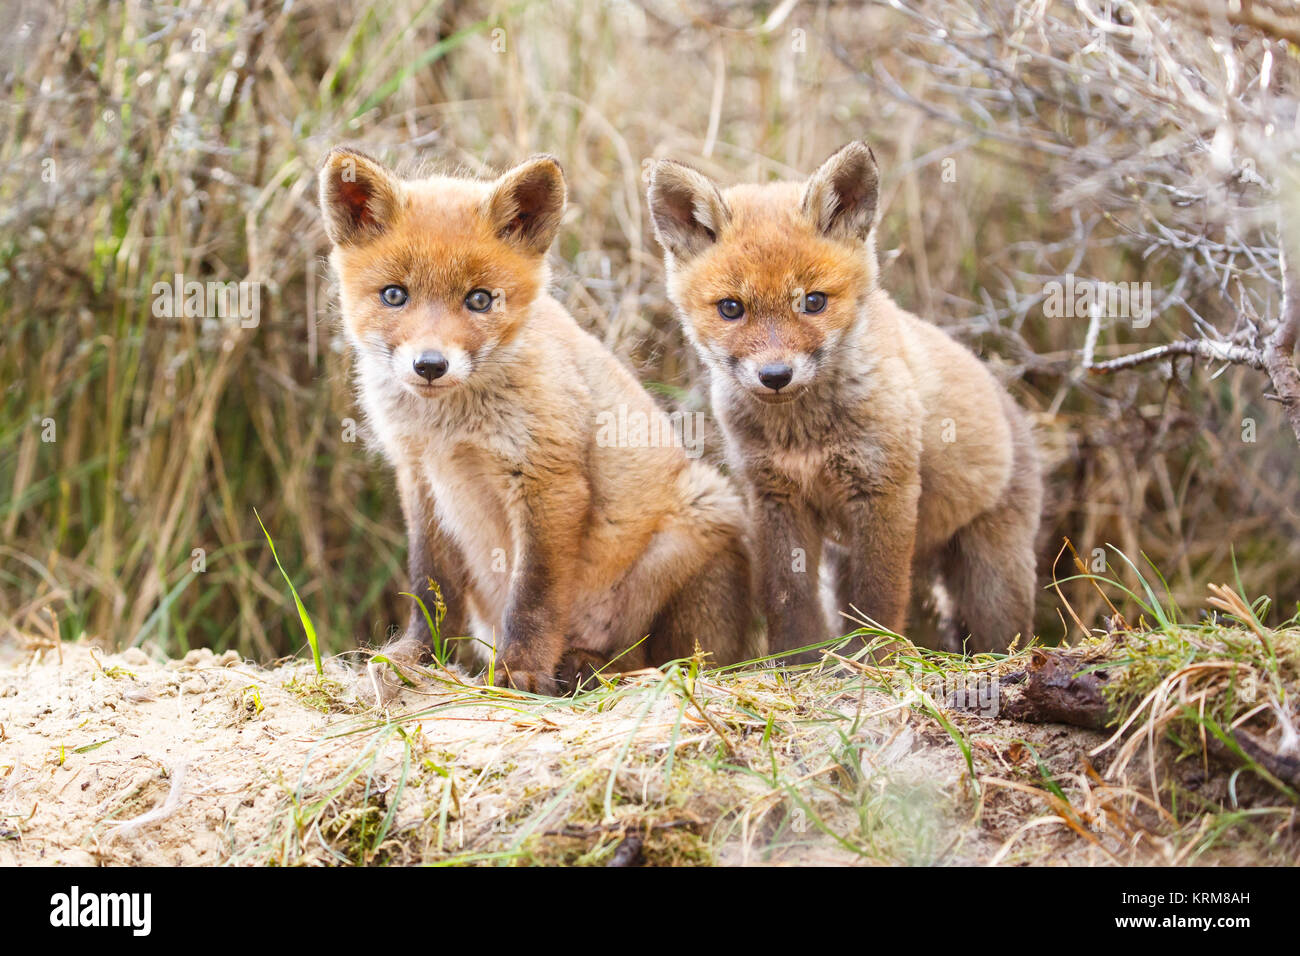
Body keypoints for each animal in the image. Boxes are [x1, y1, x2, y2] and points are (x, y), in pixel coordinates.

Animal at [318, 147, 756, 699]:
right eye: (394, 296)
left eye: (480, 300)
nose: (430, 365)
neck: (450, 432)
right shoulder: (419, 475)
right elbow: (430, 587)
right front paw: (415, 659)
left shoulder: (549, 480)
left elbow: (534, 593)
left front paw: (520, 672)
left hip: (701, 518)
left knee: (661, 659)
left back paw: (589, 666)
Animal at [647, 141, 1042, 659]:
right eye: (731, 308)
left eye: (813, 302)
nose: (776, 376)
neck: (803, 435)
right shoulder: (775, 497)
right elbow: (788, 599)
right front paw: (797, 663)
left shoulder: (885, 491)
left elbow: (880, 599)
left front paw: (877, 660)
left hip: (991, 576)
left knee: (1001, 629)